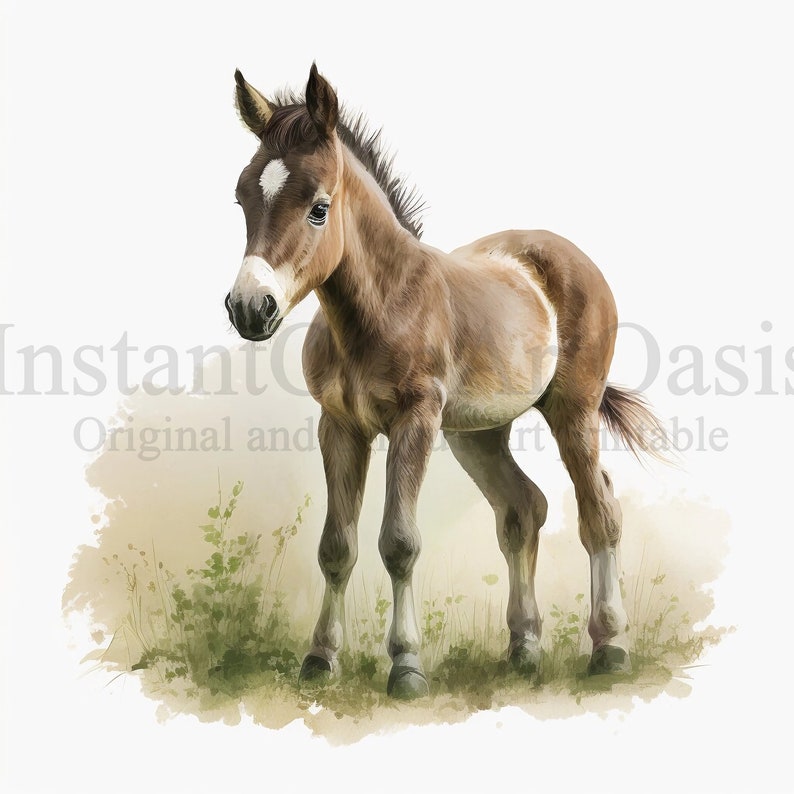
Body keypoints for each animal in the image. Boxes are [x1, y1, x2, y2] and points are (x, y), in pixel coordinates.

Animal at [225, 64, 666, 699]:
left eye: (319, 207)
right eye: (242, 195)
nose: (248, 309)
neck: (381, 304)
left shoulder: (416, 420)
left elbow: (399, 542)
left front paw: (407, 666)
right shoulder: (340, 428)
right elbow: (336, 546)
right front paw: (319, 660)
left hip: (571, 412)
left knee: (599, 511)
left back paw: (610, 647)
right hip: (477, 434)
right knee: (522, 510)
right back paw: (523, 649)